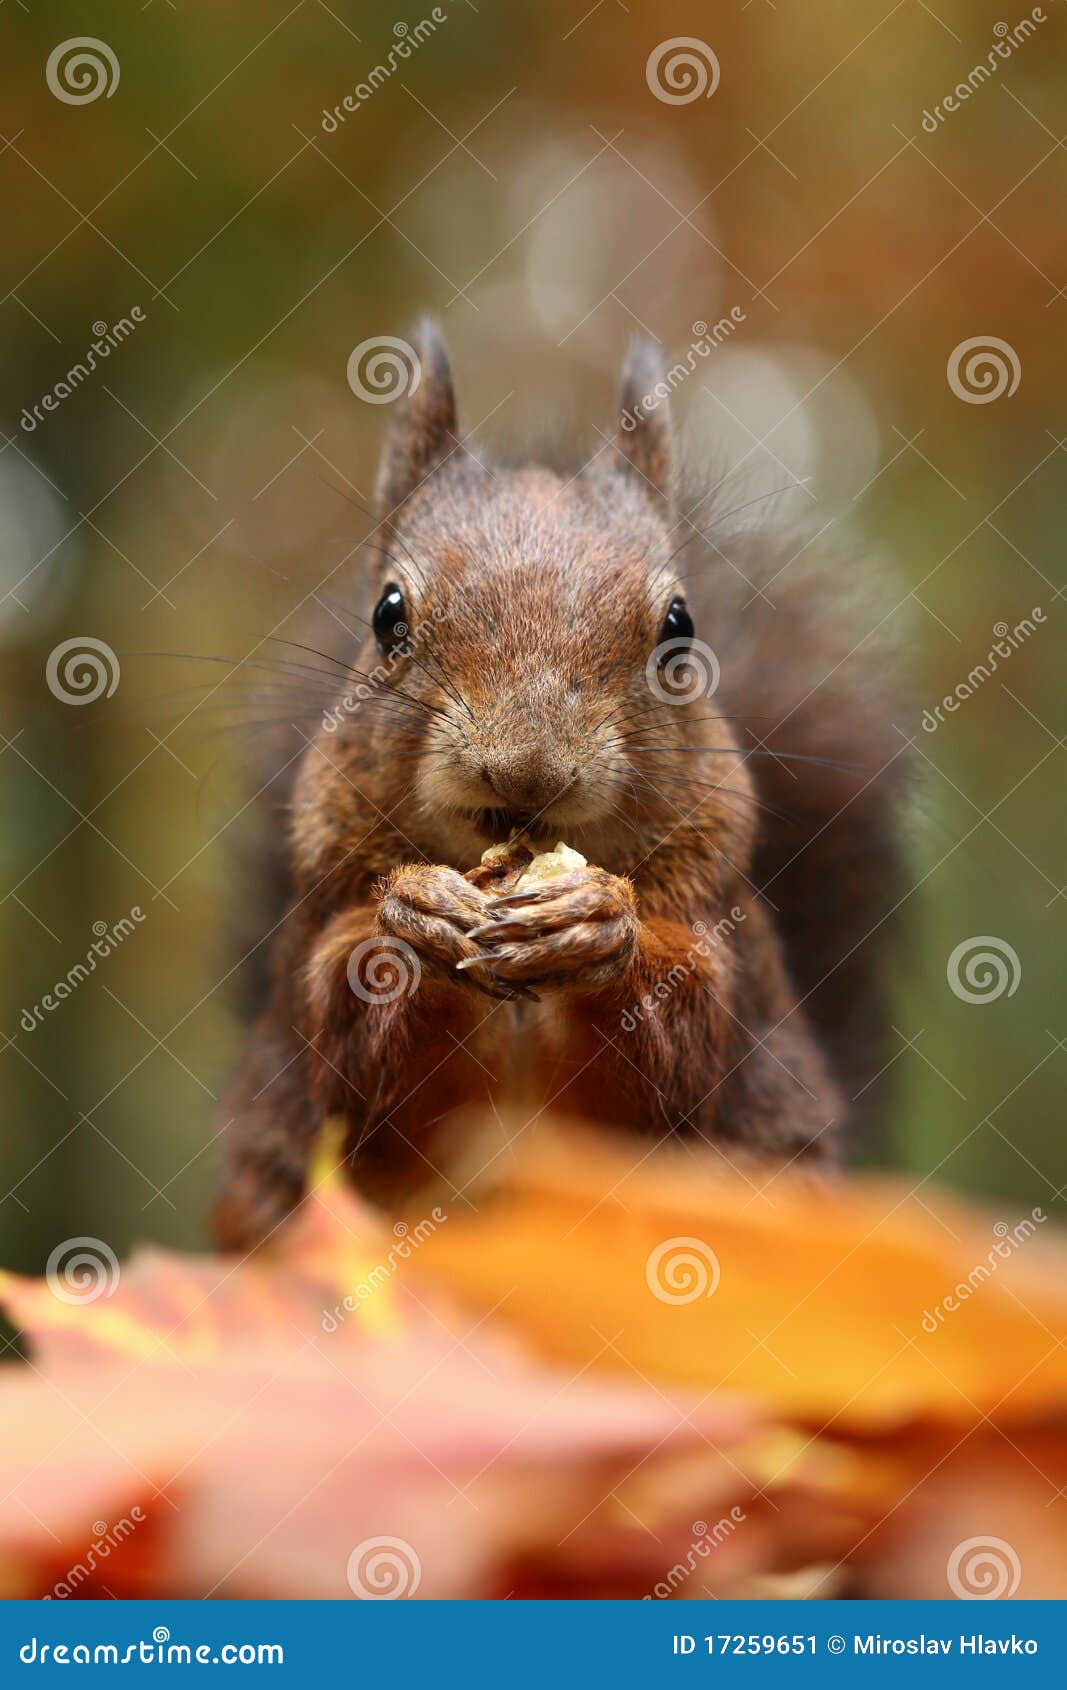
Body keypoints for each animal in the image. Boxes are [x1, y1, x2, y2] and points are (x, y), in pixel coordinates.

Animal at [212, 319, 908, 1251]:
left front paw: (595, 927)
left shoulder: (721, 934)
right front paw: (419, 916)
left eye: (679, 627)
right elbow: (363, 1077)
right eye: (387, 614)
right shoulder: (313, 938)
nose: (526, 767)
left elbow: (668, 1066)